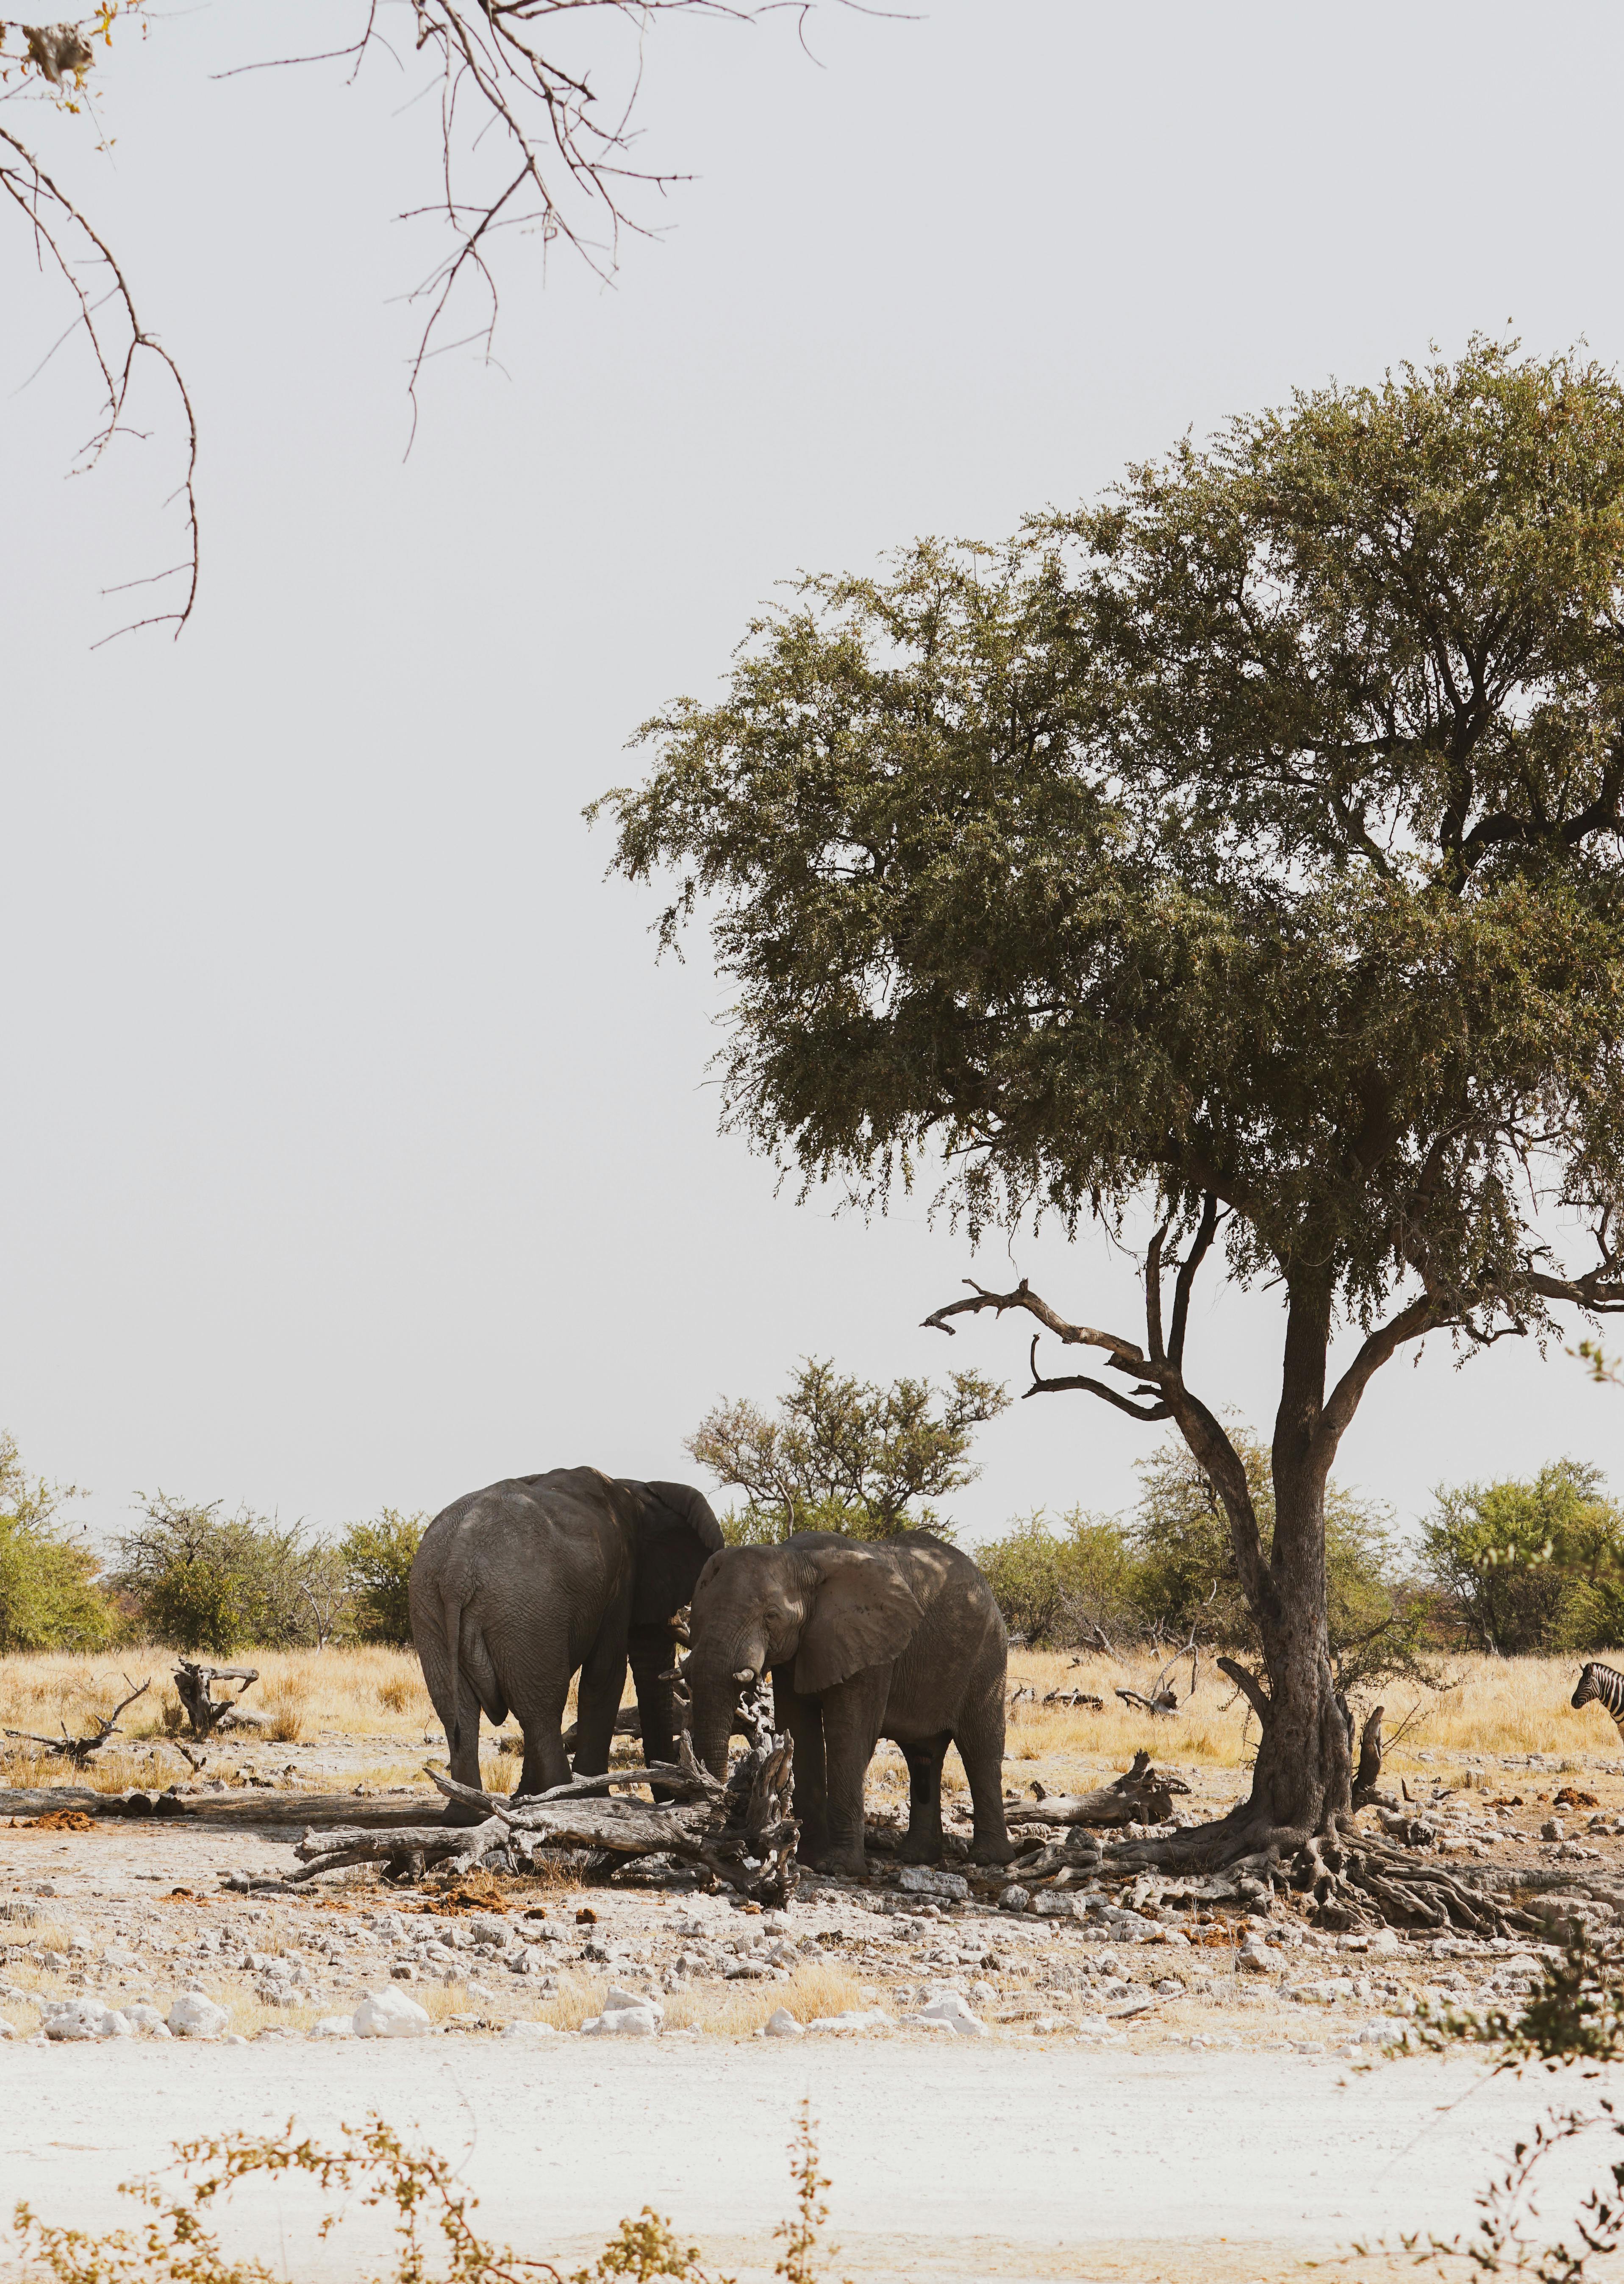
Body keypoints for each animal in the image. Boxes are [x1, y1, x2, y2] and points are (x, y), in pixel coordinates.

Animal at [409, 1467, 723, 1816]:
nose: (674, 1796)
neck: (635, 1489)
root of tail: (457, 1567)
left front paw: (528, 1796)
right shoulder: (619, 1582)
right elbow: (606, 1674)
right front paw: (593, 1797)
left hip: (431, 1605)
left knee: (459, 1709)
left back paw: (466, 1815)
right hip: (527, 1609)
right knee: (541, 1709)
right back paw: (561, 1798)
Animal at [684, 1529, 1014, 1875]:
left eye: (771, 1617)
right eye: (697, 1615)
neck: (798, 1558)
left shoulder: (870, 1650)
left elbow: (849, 1736)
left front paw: (837, 1868)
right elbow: (799, 1731)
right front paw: (807, 1858)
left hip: (987, 1654)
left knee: (980, 1748)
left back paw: (989, 1859)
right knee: (922, 1756)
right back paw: (916, 1858)